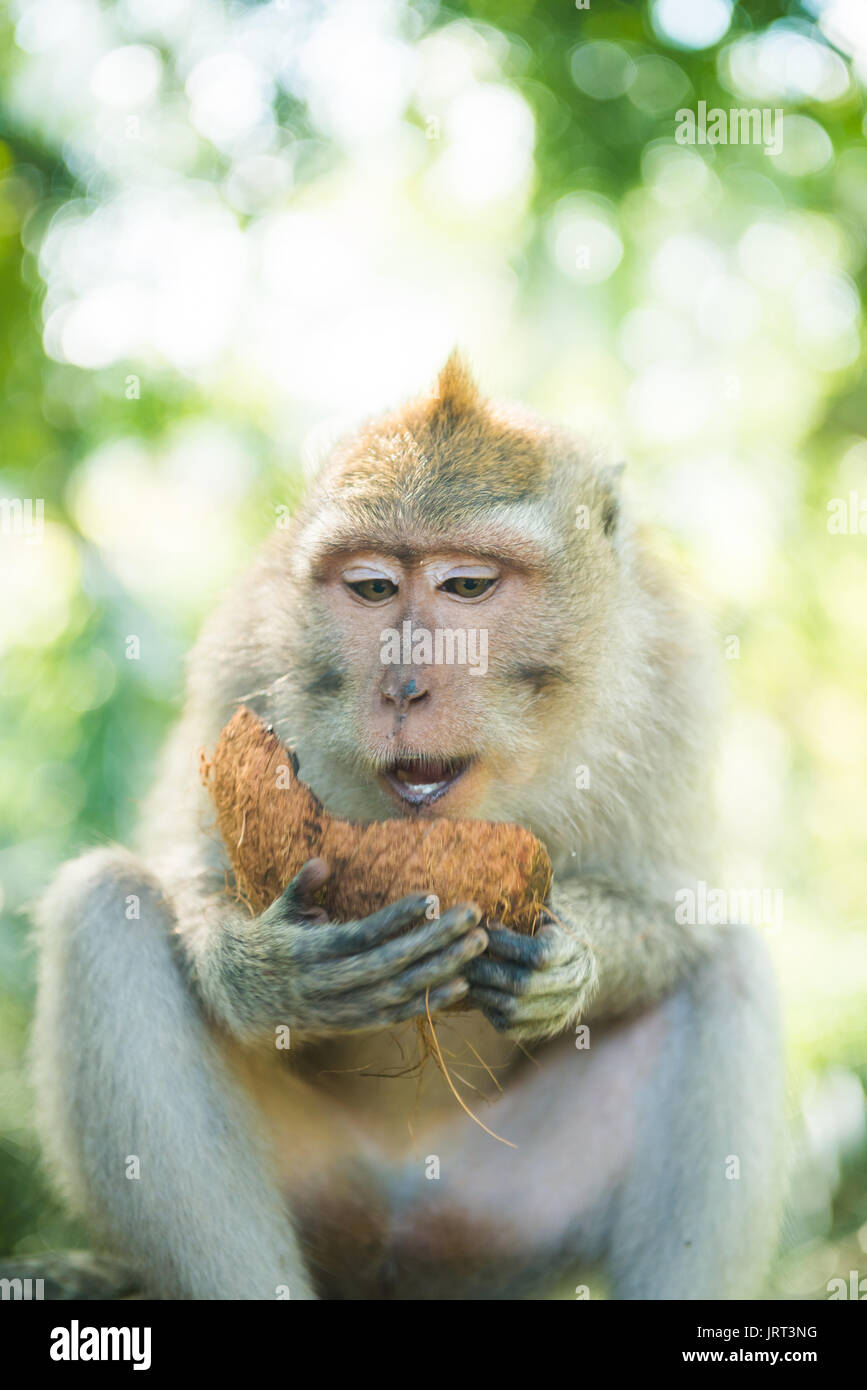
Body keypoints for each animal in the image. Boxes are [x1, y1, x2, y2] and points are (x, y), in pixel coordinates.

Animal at [32, 354, 784, 1300]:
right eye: (372, 588)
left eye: (466, 586)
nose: (405, 685)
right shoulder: (245, 644)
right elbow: (187, 865)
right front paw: (265, 975)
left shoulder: (672, 667)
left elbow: (671, 906)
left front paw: (565, 964)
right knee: (103, 910)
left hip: (505, 1210)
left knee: (728, 966)